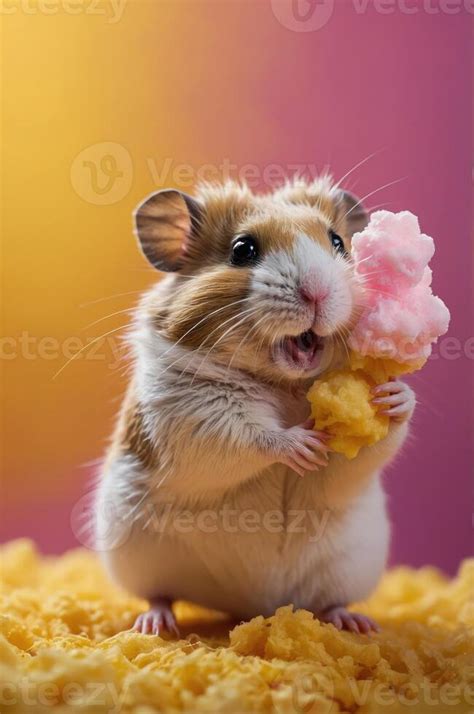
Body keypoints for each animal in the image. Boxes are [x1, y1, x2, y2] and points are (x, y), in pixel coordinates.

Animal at [95, 177, 415, 636]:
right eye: (243, 250)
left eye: (337, 242)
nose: (317, 291)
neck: (287, 386)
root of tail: (254, 605)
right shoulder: (189, 413)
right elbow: (249, 435)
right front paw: (303, 445)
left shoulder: (347, 468)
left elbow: (366, 450)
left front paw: (393, 396)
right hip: (138, 557)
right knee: (159, 594)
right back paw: (155, 625)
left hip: (348, 566)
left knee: (329, 602)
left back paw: (355, 623)